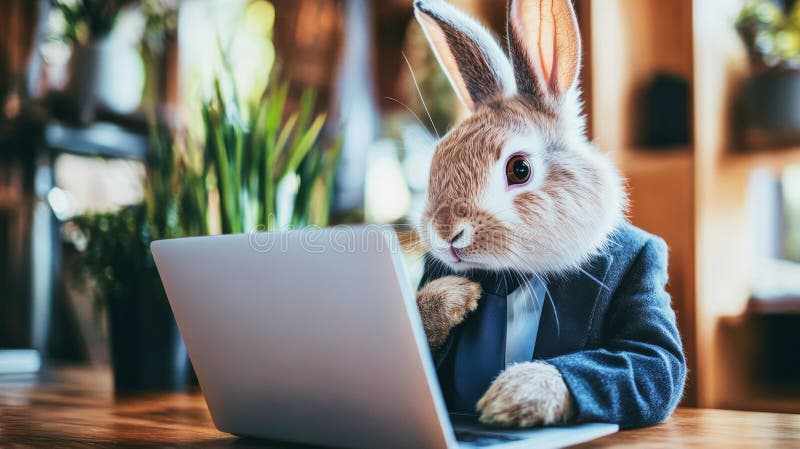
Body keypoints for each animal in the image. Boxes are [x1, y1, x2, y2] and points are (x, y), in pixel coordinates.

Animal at [413, 0, 686, 430]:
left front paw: (515, 395)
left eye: (519, 169)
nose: (445, 233)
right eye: (438, 160)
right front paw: (457, 294)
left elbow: (650, 356)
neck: (514, 276)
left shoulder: (648, 325)